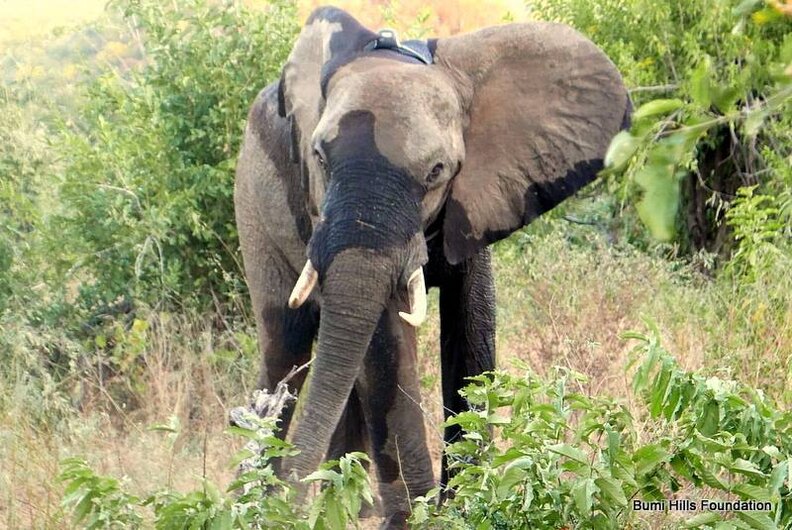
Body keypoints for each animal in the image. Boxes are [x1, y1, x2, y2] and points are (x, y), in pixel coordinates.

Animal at [234, 6, 629, 528]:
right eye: (319, 157)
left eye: (438, 171)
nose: (292, 507)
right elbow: (386, 344)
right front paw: (418, 515)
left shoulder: (478, 197)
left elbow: (471, 325)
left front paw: (461, 502)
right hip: (253, 198)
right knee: (287, 345)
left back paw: (345, 501)